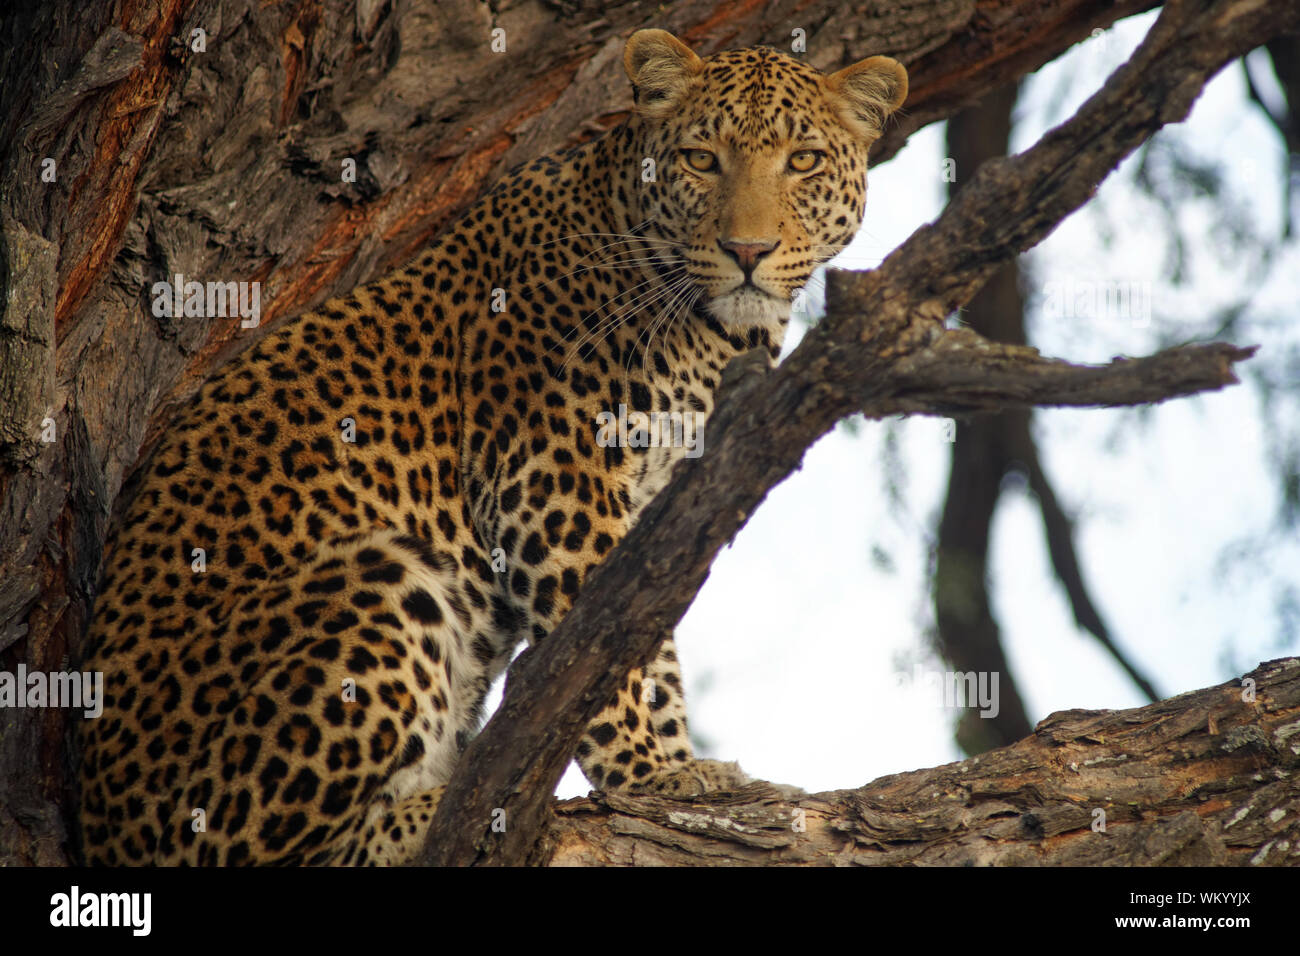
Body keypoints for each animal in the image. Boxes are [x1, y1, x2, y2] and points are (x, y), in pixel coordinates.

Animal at [76, 28, 907, 865]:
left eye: (804, 161)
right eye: (702, 159)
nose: (747, 250)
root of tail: (107, 832)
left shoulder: (660, 509)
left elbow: (649, 644)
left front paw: (677, 771)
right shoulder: (553, 477)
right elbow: (599, 652)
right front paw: (650, 775)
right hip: (374, 586)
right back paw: (442, 807)